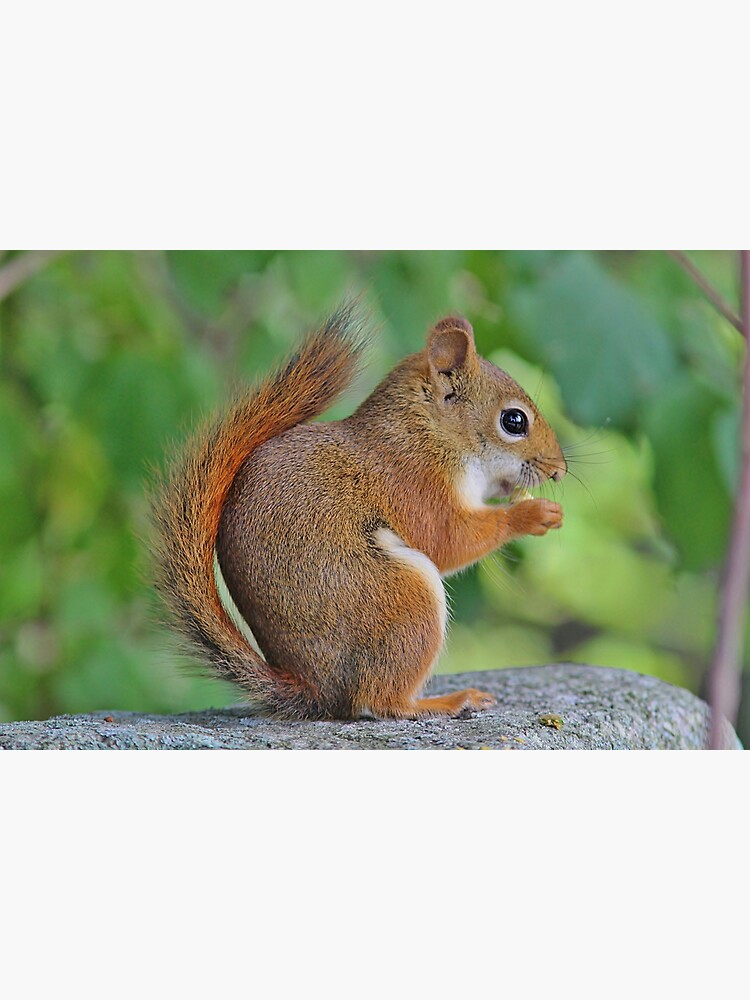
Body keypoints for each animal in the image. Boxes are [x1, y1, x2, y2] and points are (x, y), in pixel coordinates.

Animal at [152, 303, 566, 720]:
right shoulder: (413, 484)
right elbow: (447, 539)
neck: (427, 433)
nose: (559, 471)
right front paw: (533, 514)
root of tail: (316, 689)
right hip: (403, 599)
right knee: (380, 699)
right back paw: (445, 701)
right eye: (514, 421)